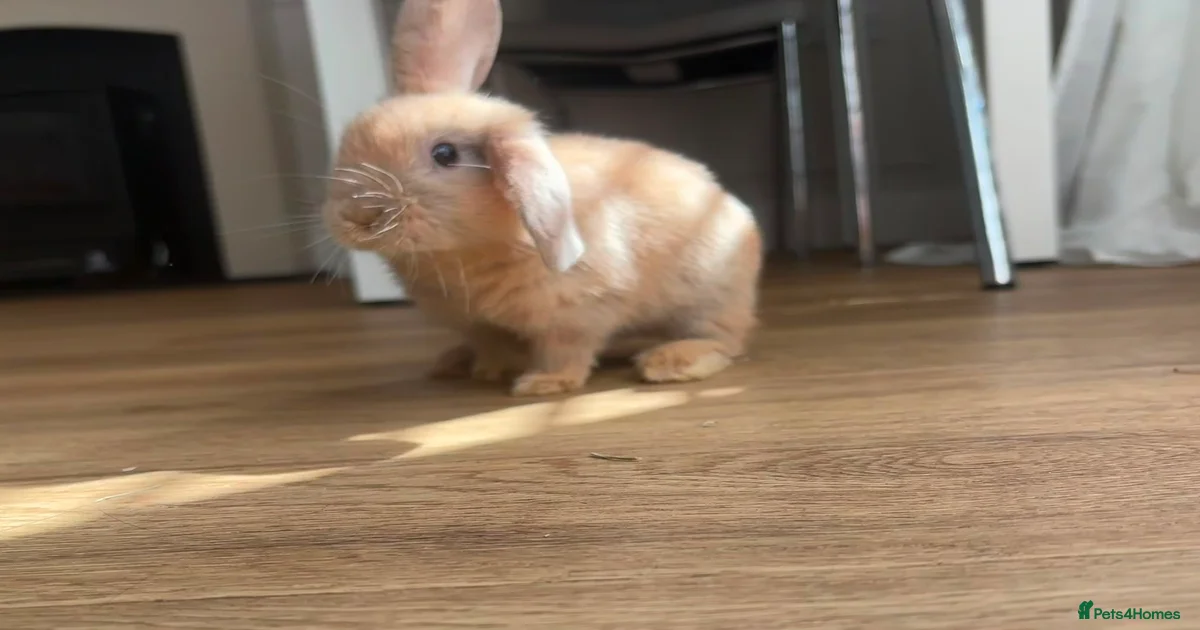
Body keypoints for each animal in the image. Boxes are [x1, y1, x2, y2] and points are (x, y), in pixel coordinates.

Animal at [322, 0, 764, 397]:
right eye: (348, 142)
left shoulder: (575, 313)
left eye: (445, 154)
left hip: (708, 299)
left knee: (725, 340)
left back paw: (668, 363)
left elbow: (565, 352)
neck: (462, 254)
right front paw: (488, 371)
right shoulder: (479, 324)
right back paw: (451, 362)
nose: (359, 215)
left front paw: (541, 384)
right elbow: (491, 345)